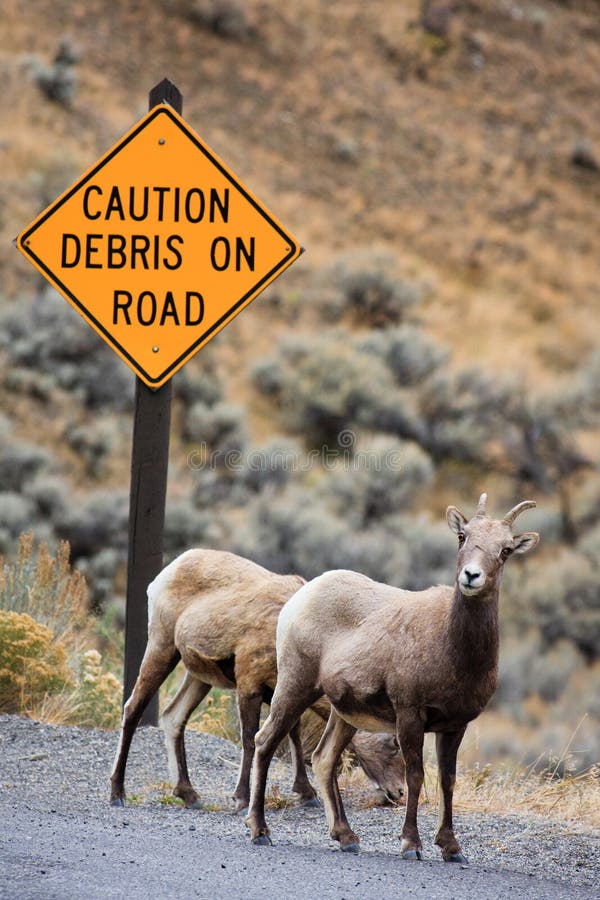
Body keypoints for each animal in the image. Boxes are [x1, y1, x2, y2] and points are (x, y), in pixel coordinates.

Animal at [109, 549, 406, 812]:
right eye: (393, 742)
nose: (398, 793)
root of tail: (172, 568)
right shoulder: (249, 684)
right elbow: (251, 740)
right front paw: (241, 799)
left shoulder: (282, 693)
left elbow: (291, 735)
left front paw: (306, 794)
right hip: (162, 648)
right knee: (133, 708)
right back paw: (117, 793)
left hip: (199, 676)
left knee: (173, 717)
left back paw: (189, 795)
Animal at [246, 494, 539, 862]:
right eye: (463, 536)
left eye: (506, 549)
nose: (471, 576)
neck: (452, 649)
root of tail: (302, 596)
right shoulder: (409, 714)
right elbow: (416, 777)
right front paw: (411, 845)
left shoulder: (455, 726)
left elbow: (448, 781)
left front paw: (451, 848)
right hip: (295, 687)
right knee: (265, 741)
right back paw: (259, 831)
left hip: (344, 715)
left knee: (324, 759)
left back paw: (347, 837)